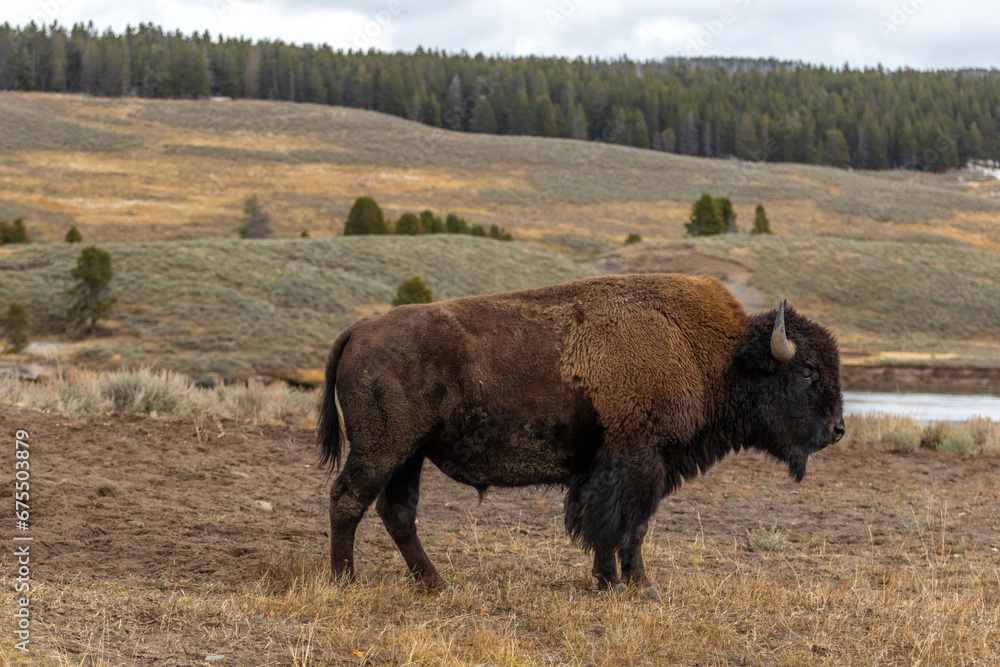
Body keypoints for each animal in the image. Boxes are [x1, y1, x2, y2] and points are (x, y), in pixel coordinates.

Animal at [318, 273, 844, 598]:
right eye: (807, 372)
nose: (837, 430)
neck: (714, 353)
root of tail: (356, 331)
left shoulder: (614, 468)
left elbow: (611, 525)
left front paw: (611, 581)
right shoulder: (641, 461)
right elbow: (628, 524)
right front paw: (639, 586)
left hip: (409, 454)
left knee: (397, 512)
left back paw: (437, 585)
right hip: (382, 449)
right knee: (348, 499)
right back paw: (345, 581)